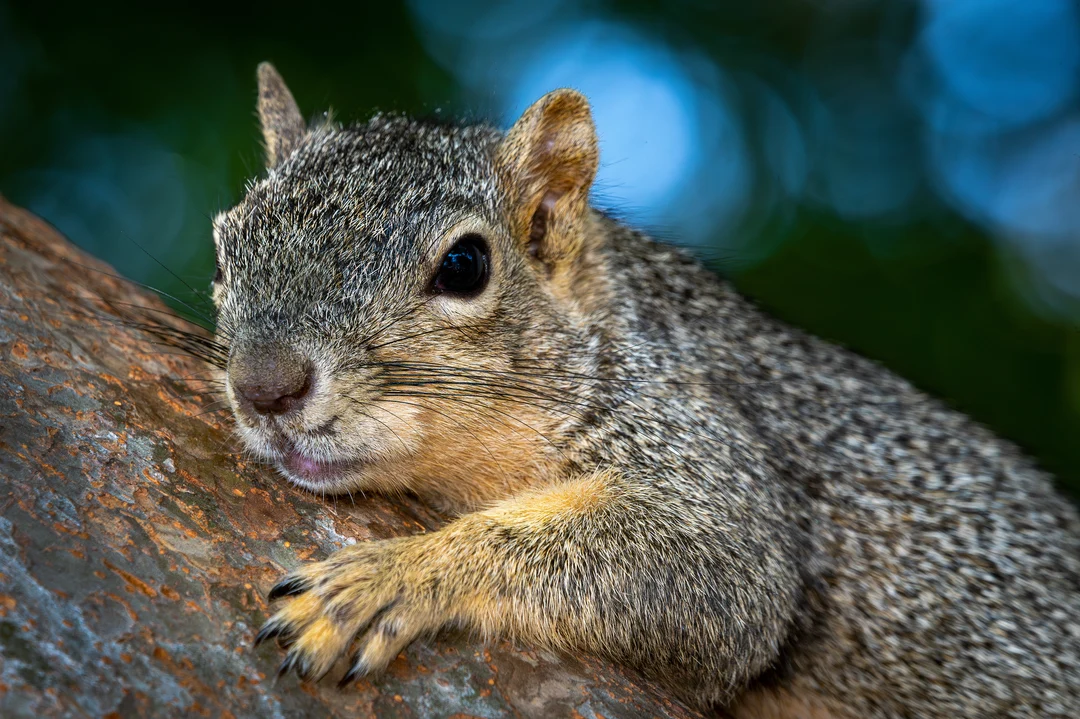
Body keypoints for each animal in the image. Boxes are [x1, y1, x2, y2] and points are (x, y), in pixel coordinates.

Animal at [208, 63, 1080, 718]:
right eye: (225, 244)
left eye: (465, 265)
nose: (265, 386)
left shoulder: (707, 448)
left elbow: (723, 564)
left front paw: (390, 578)